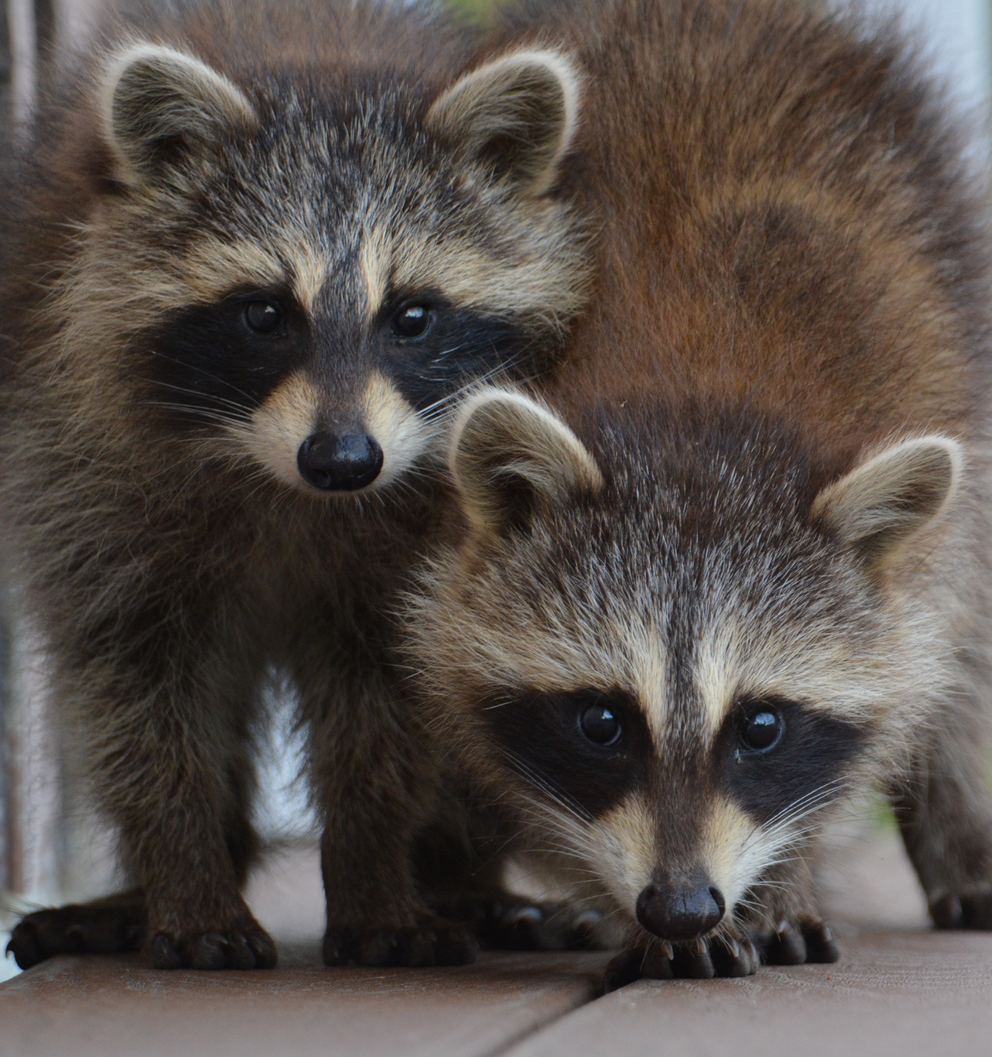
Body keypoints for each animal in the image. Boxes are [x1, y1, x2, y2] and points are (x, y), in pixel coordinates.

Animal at [1, 0, 587, 970]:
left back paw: (464, 880)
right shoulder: (86, 480)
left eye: (413, 316)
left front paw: (374, 871)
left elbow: (387, 714)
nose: (344, 459)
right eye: (265, 313)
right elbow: (139, 696)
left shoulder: (401, 553)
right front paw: (186, 871)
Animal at [406, 0, 992, 987]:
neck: (698, 419)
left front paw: (782, 882)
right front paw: (621, 904)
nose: (679, 905)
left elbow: (909, 679)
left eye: (761, 725)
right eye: (601, 720)